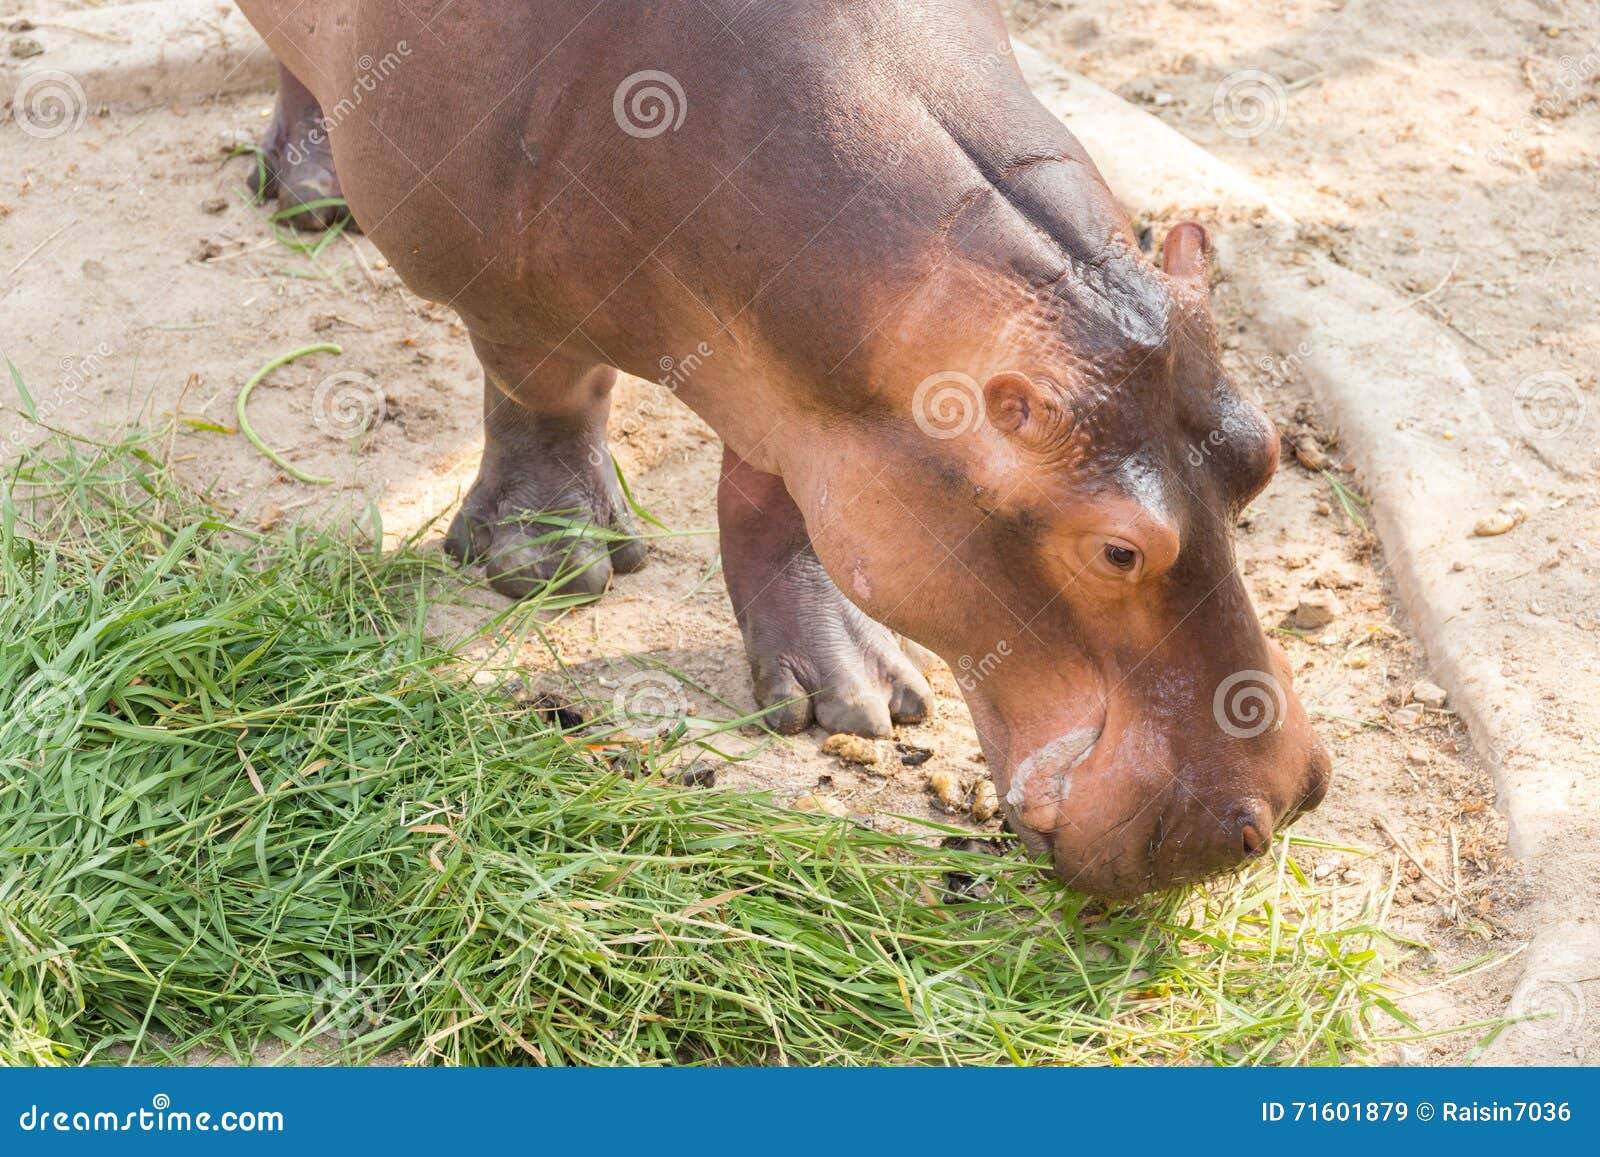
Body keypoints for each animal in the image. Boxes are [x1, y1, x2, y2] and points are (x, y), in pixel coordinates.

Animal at [235, 0, 1331, 897]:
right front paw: (551, 566)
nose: (1277, 805)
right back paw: (309, 195)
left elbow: (776, 503)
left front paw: (857, 700)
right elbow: (547, 391)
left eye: (1265, 455)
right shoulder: (493, 283)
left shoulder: (811, 397)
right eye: (1116, 548)